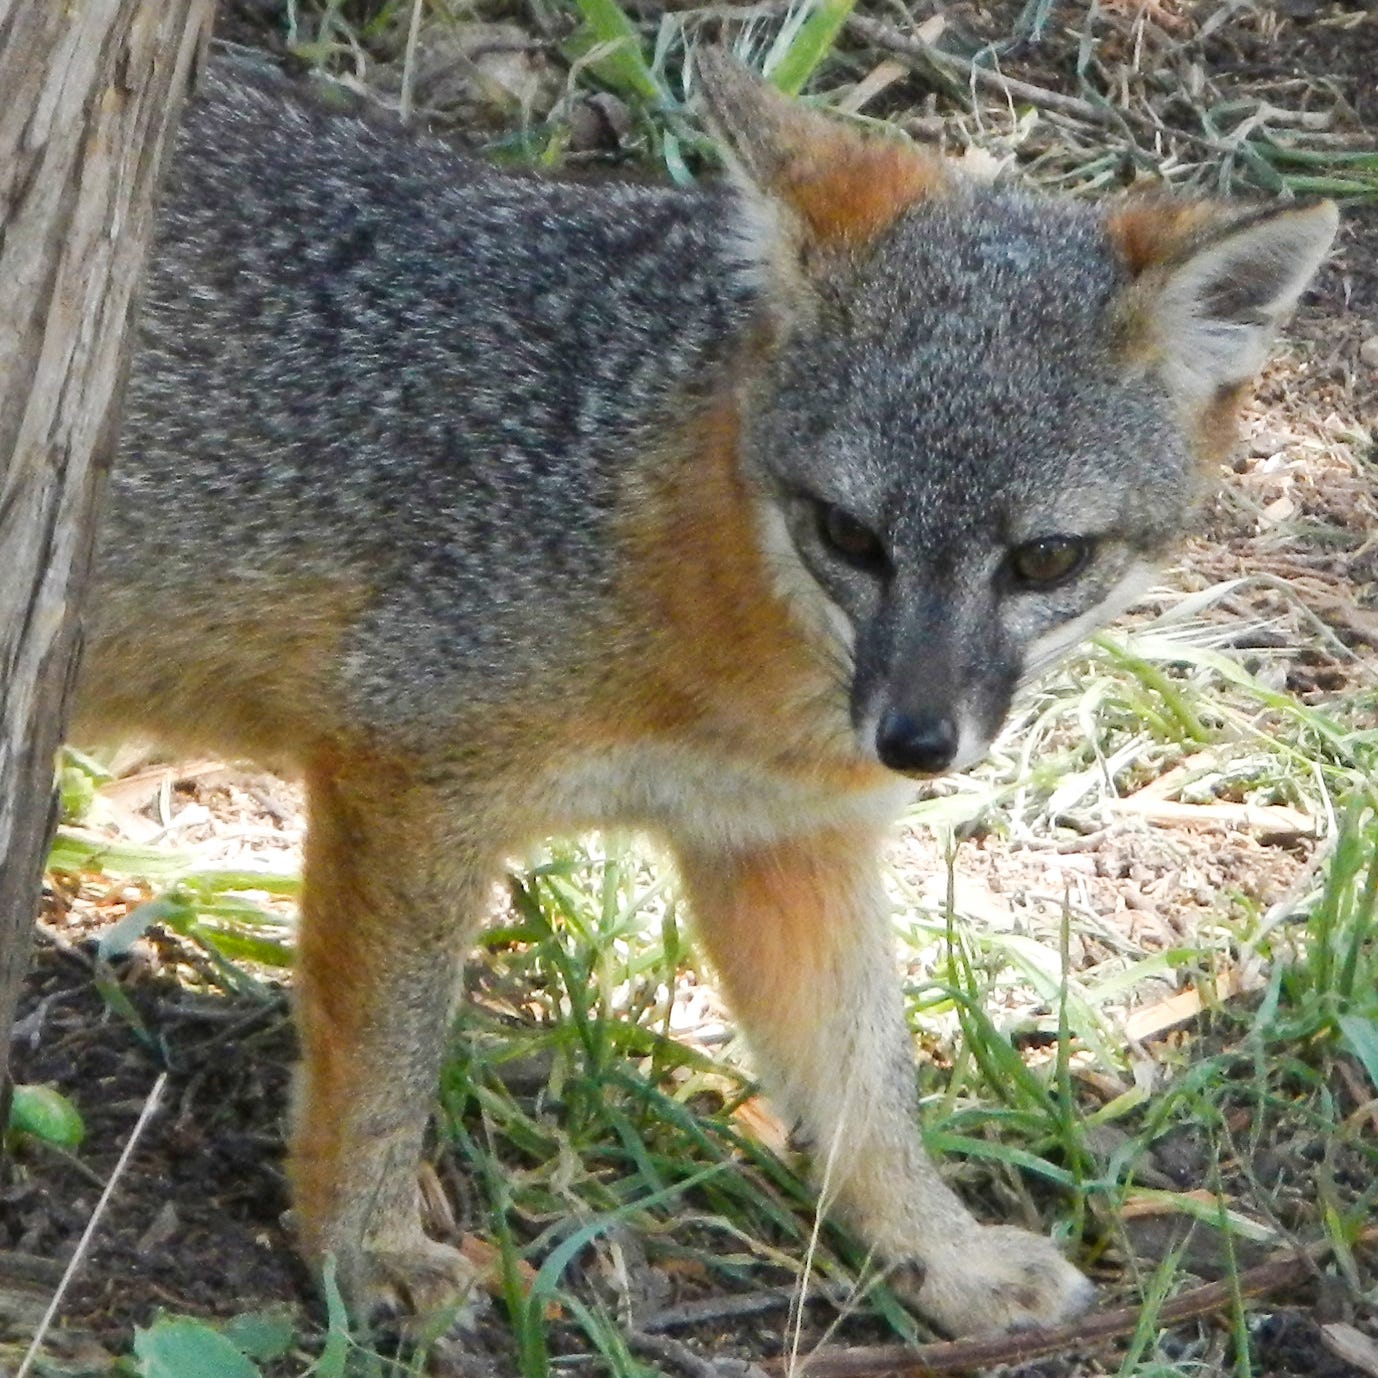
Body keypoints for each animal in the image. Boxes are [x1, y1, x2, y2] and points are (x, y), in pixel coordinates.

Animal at [73, 48, 1337, 1339]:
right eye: (849, 534)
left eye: (1045, 558)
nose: (914, 741)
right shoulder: (410, 774)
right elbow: (386, 1056)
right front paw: (365, 1247)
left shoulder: (784, 840)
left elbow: (870, 1087)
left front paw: (939, 1251)